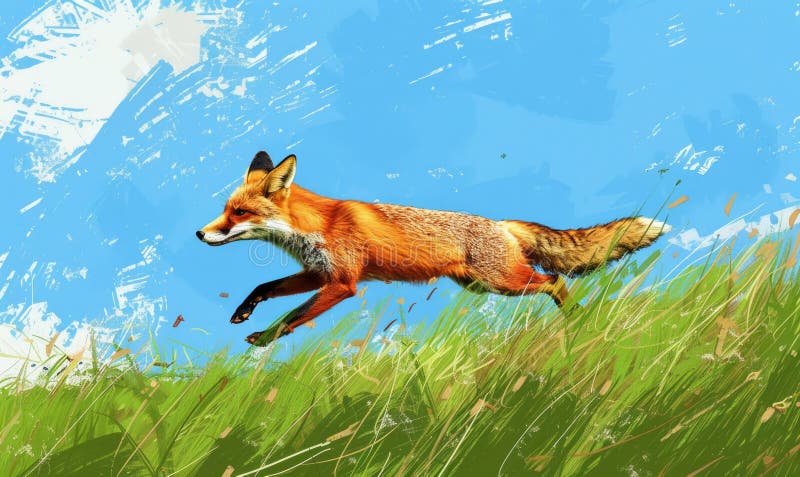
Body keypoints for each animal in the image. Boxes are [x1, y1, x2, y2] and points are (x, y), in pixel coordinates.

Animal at [197, 151, 670, 346]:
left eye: (238, 213)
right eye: (225, 210)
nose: (200, 234)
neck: (316, 226)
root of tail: (501, 223)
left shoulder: (343, 283)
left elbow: (292, 316)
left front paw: (263, 339)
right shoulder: (319, 273)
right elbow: (265, 287)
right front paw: (243, 313)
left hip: (504, 282)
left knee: (554, 280)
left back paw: (577, 319)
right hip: (483, 286)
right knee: (552, 279)